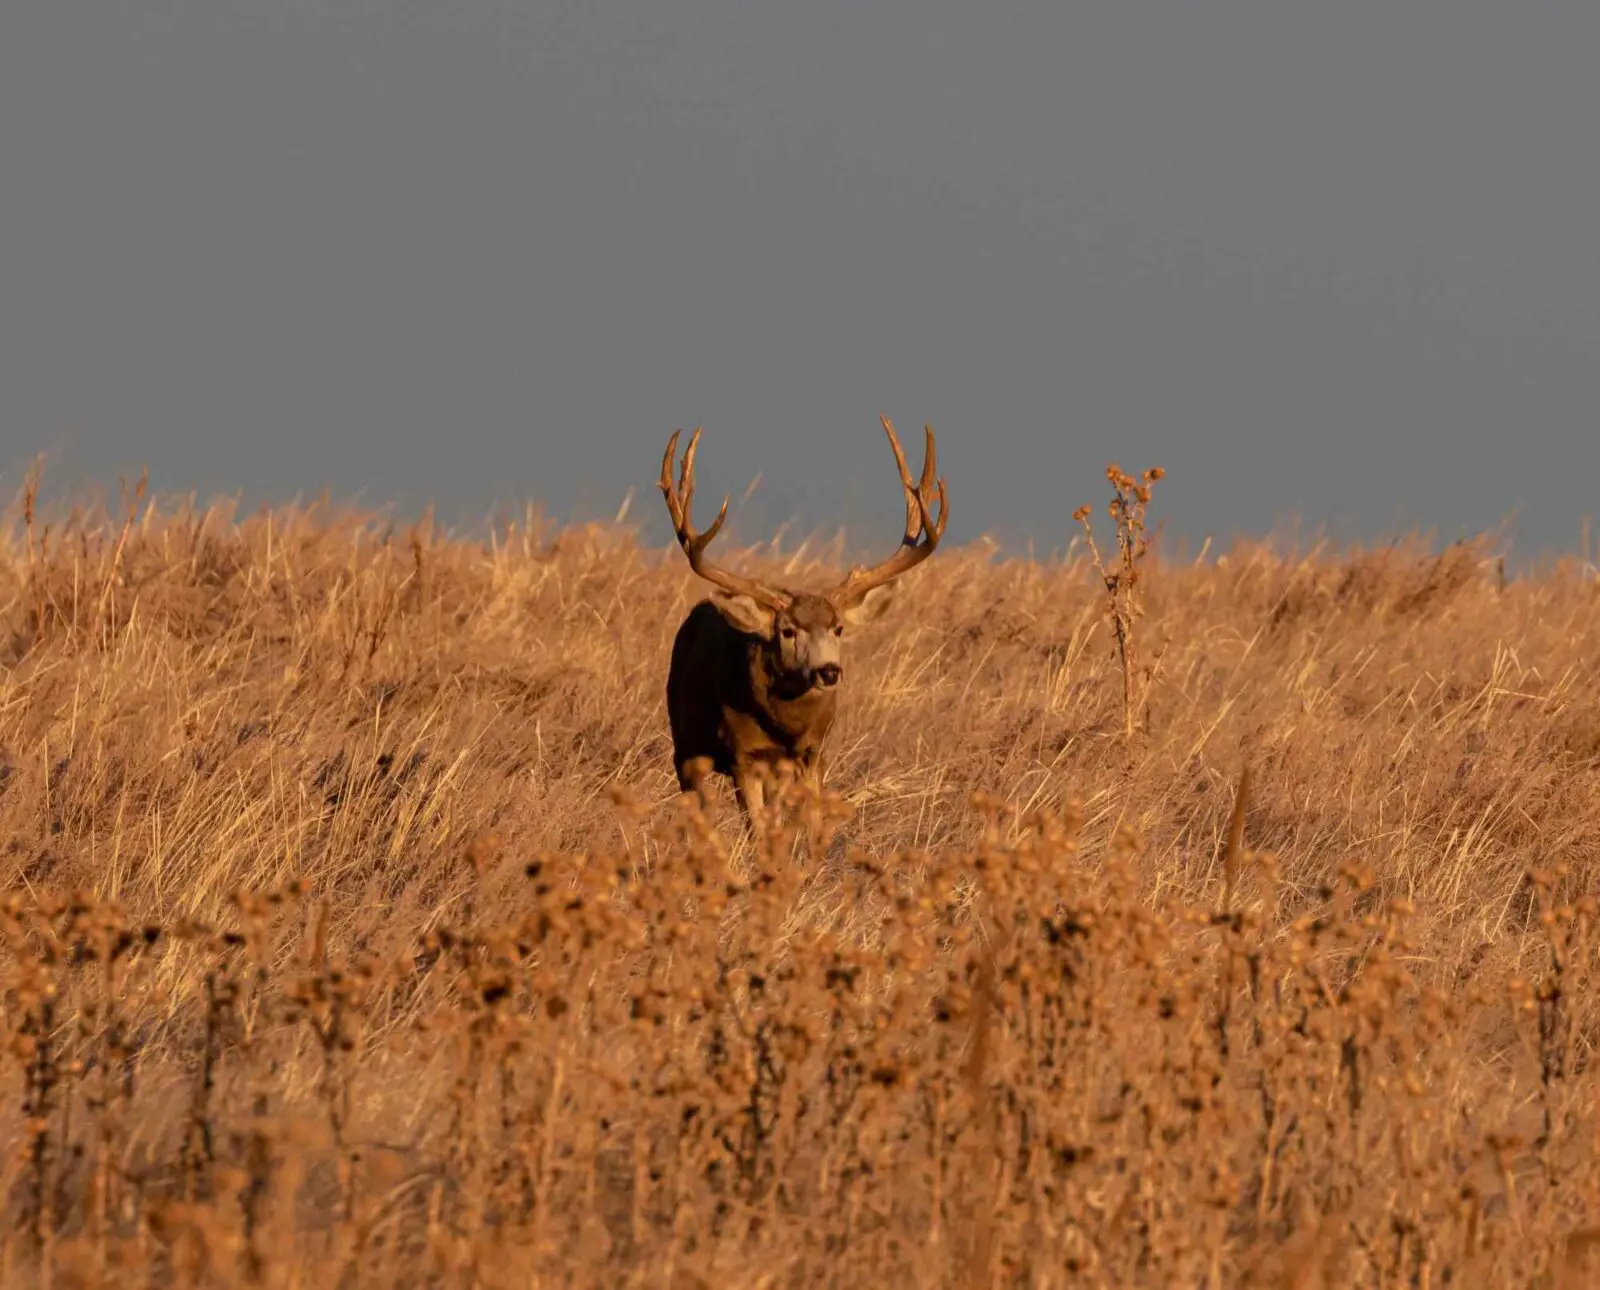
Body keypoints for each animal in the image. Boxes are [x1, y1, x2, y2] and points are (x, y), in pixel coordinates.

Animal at [658, 415, 948, 828]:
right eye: (787, 630)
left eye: (838, 628)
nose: (829, 670)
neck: (786, 730)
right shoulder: (743, 755)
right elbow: (759, 829)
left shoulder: (814, 753)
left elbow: (808, 822)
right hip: (685, 744)